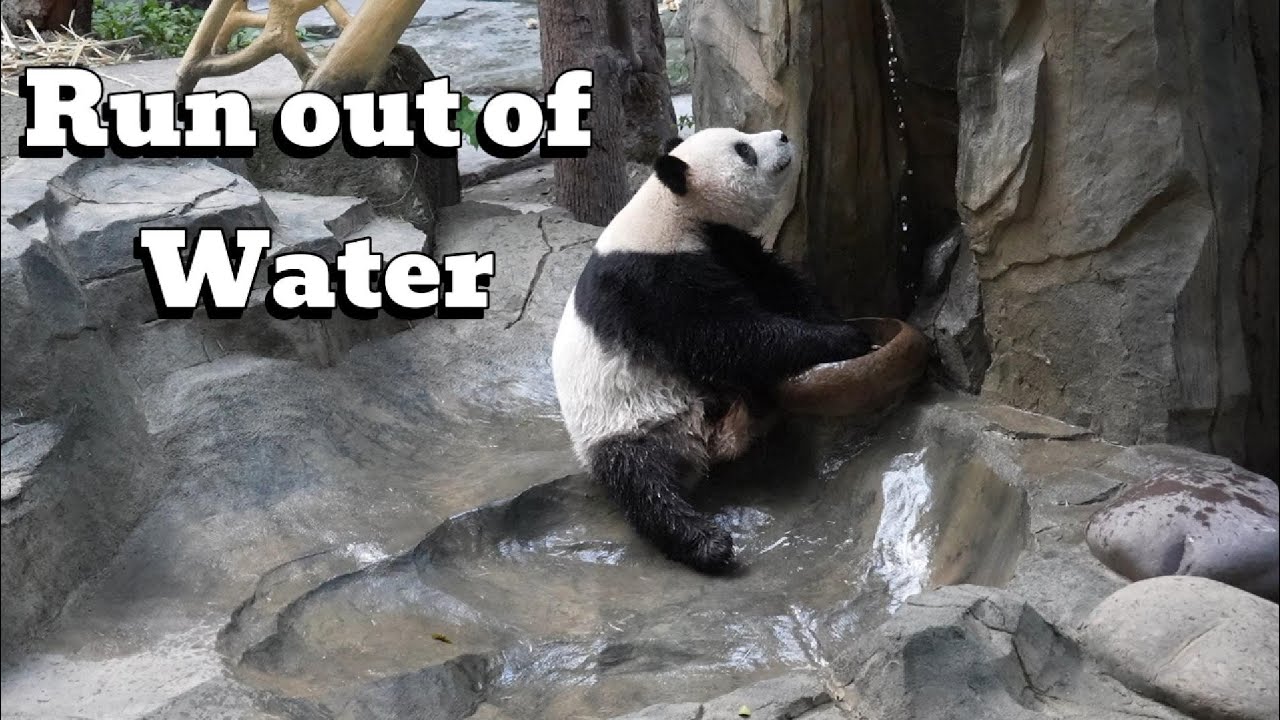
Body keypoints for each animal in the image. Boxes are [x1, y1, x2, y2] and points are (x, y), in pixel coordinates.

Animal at [550, 127, 873, 573]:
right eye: (744, 150)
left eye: (743, 137)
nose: (782, 136)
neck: (672, 210)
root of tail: (703, 442)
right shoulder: (650, 283)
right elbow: (724, 338)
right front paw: (845, 339)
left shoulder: (726, 245)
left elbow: (777, 285)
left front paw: (839, 322)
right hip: (625, 422)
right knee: (642, 481)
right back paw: (707, 544)